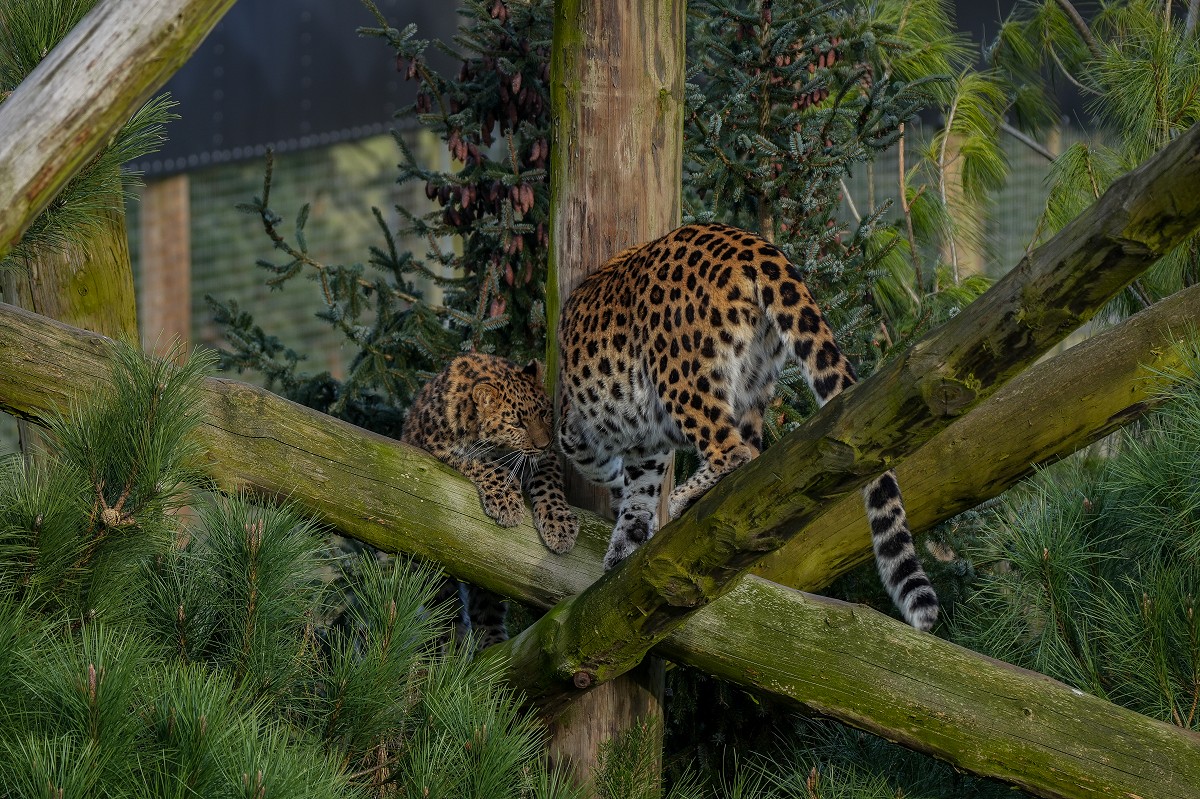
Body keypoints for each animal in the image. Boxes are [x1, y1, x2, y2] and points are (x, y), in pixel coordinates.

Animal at [401, 352, 579, 646]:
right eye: (517, 423)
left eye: (543, 413)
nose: (544, 444)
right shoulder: (442, 448)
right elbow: (489, 466)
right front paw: (508, 504)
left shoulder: (546, 459)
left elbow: (548, 486)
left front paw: (559, 527)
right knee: (446, 611)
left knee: (486, 607)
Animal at [556, 222, 939, 631]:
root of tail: (748, 243)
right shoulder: (643, 446)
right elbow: (640, 489)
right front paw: (626, 542)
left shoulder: (578, 431)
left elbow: (611, 472)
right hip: (756, 376)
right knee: (752, 458)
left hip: (680, 375)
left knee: (732, 450)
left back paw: (682, 496)